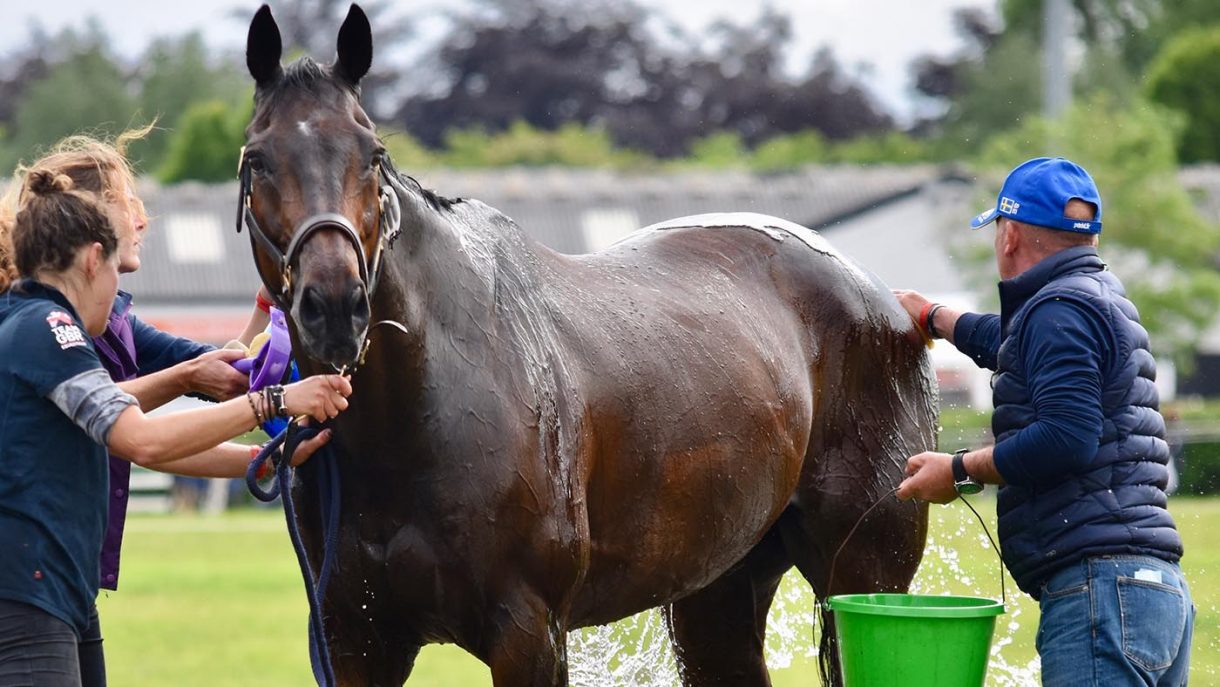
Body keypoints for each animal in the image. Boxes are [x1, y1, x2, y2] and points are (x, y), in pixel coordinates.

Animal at [238, 5, 935, 685]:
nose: (335, 304)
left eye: (372, 153)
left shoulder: (528, 634)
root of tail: (889, 303)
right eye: (257, 159)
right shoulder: (355, 641)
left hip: (864, 577)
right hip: (720, 591)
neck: (423, 409)